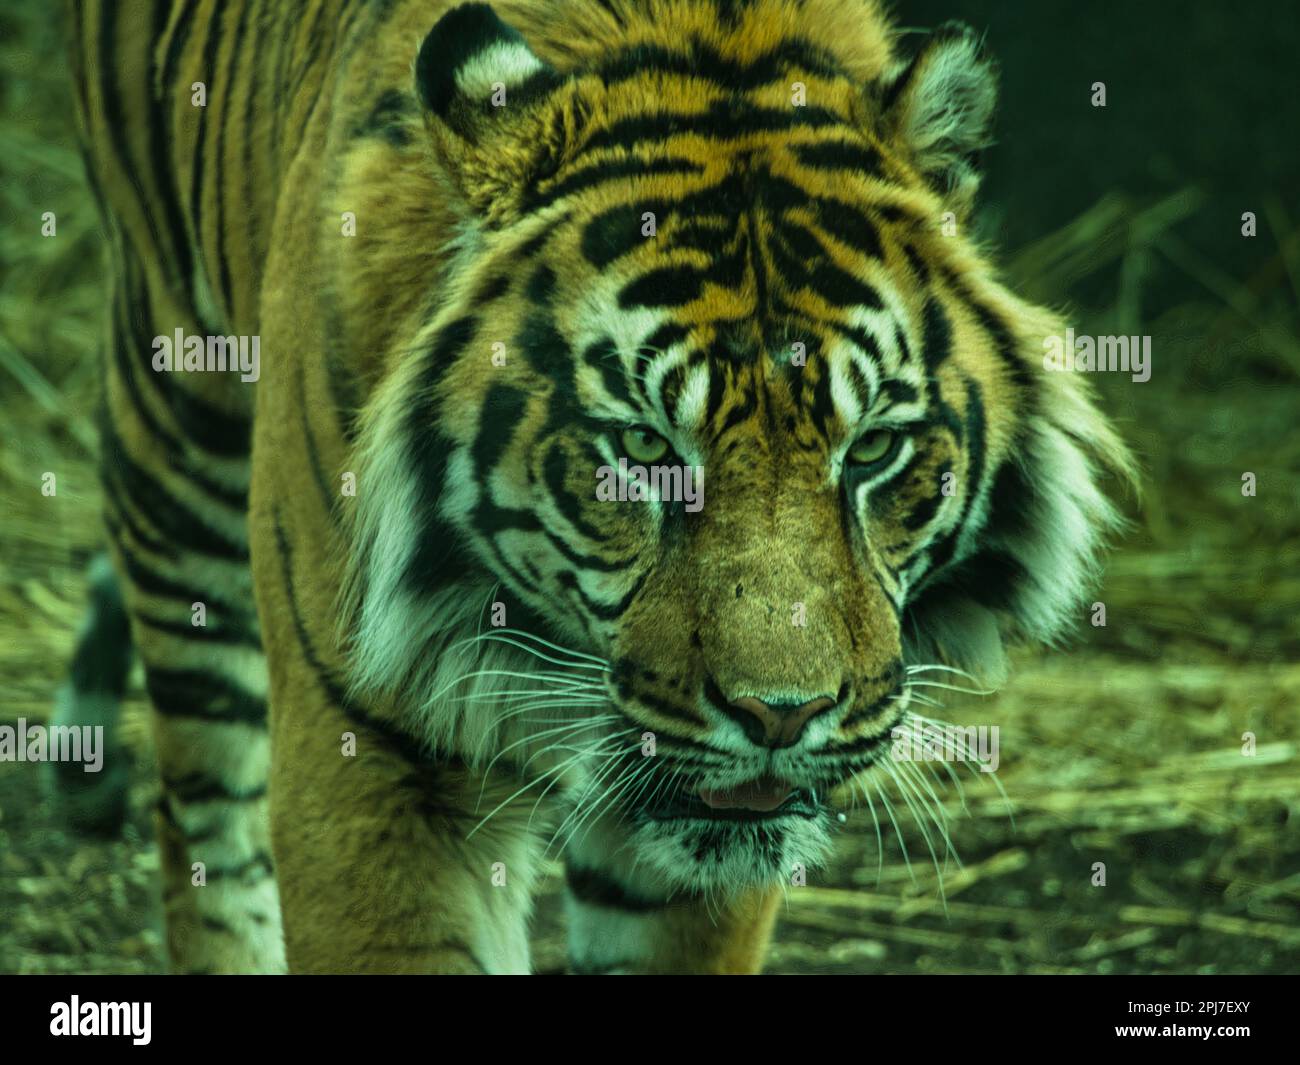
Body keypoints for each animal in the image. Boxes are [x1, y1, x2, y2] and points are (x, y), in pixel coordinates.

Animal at [64, 0, 1134, 974]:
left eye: (871, 449)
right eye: (643, 448)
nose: (781, 717)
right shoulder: (371, 762)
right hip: (176, 427)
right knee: (202, 817)